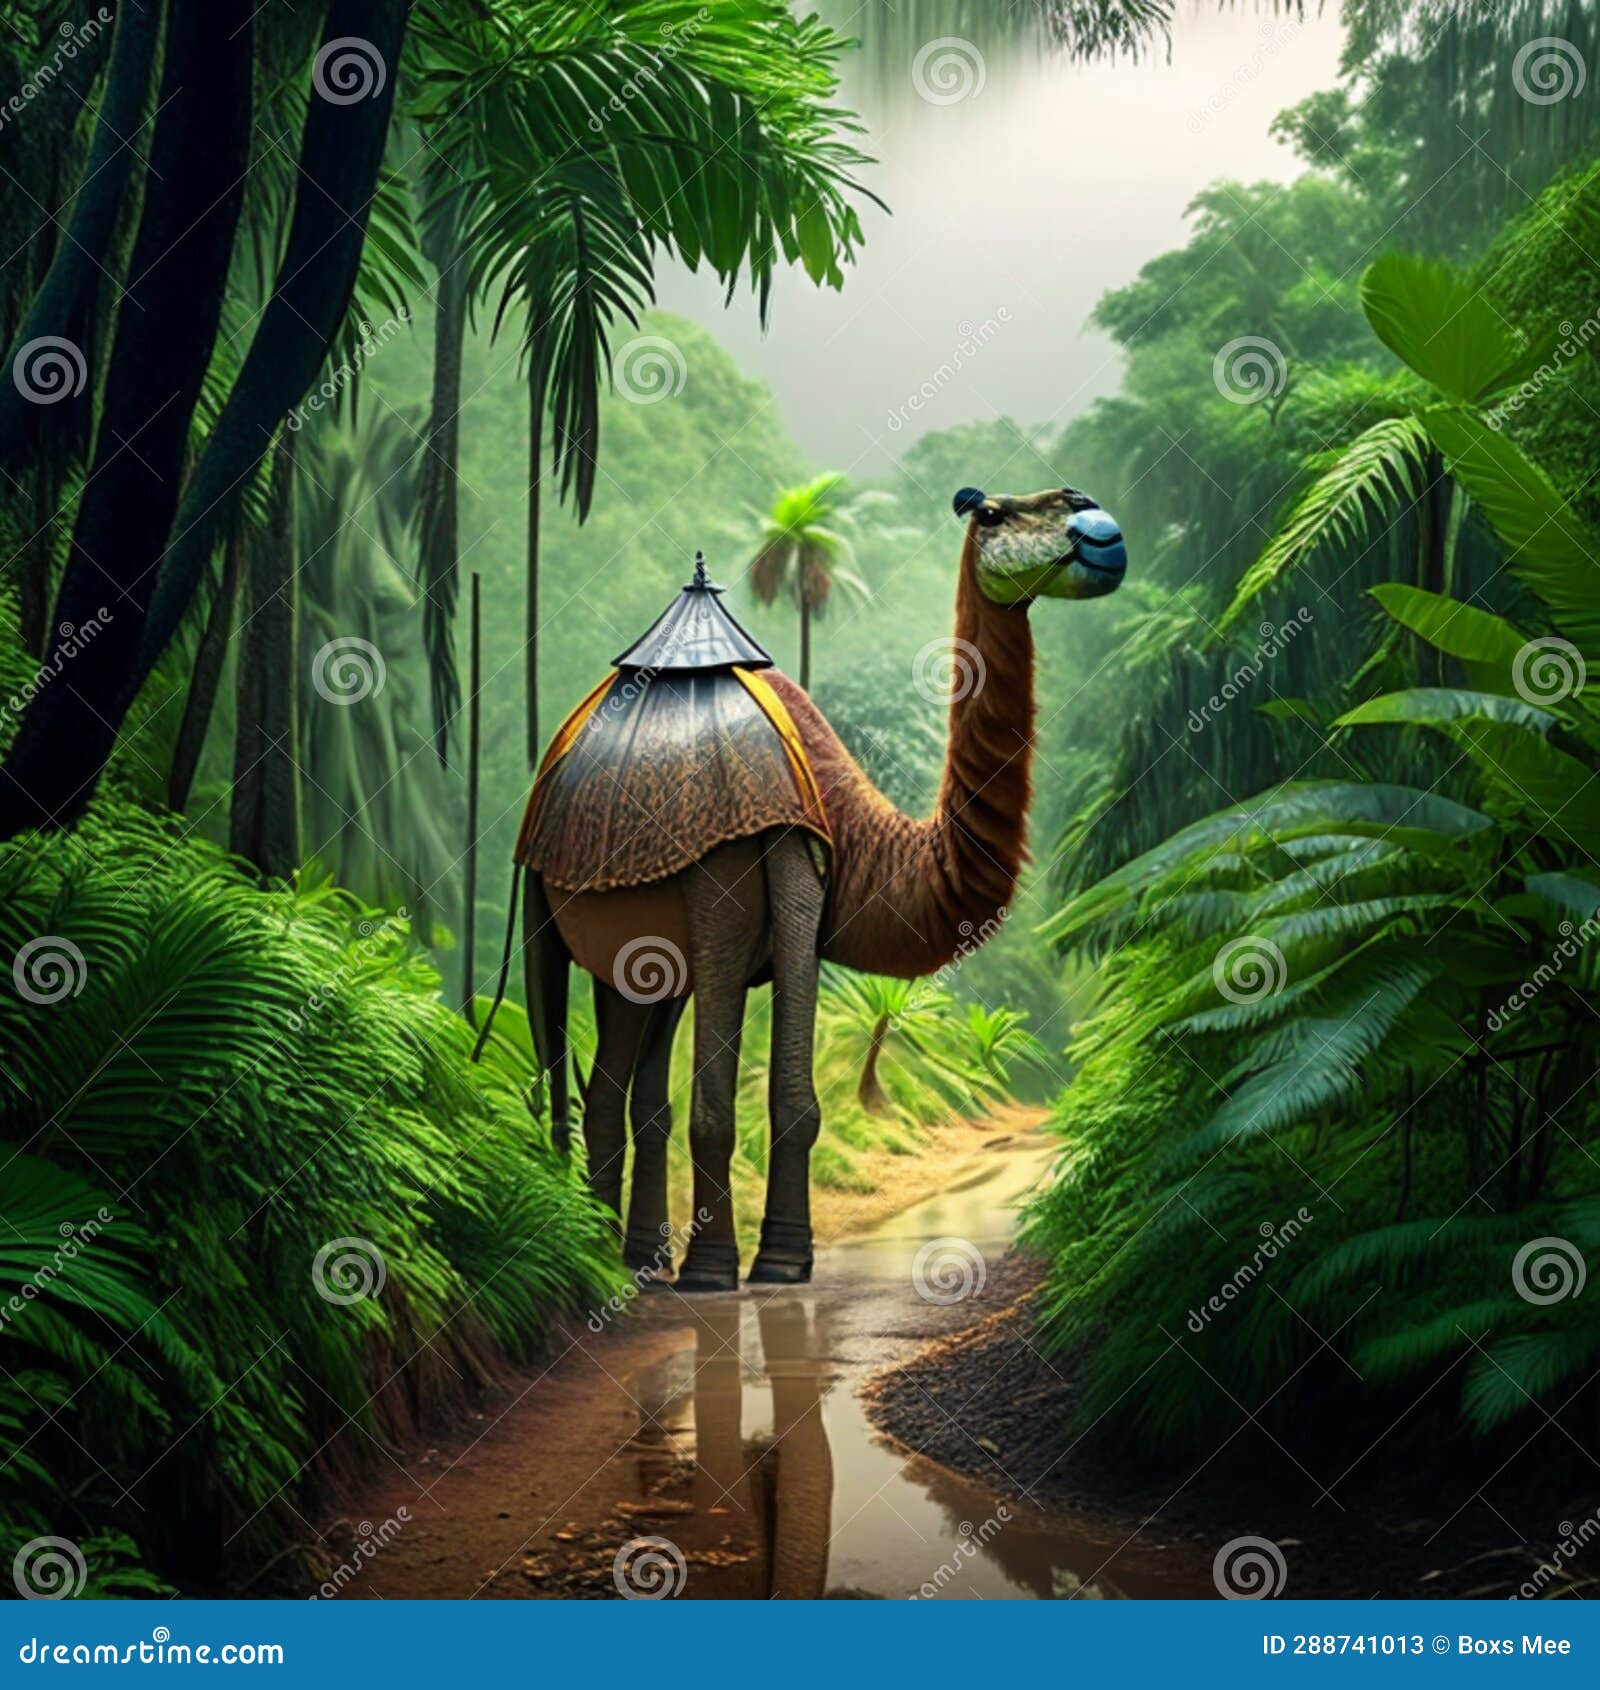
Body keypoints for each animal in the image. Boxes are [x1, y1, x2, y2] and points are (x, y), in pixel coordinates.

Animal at [480, 485, 1126, 1291]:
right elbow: (718, 1101)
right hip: (540, 892)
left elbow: (794, 1097)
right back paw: (608, 1267)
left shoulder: (804, 880)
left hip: (633, 956)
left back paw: (634, 1265)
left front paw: (782, 1261)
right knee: (570, 1055)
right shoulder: (729, 856)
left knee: (628, 1072)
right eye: (993, 514)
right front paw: (719, 1272)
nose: (1097, 525)